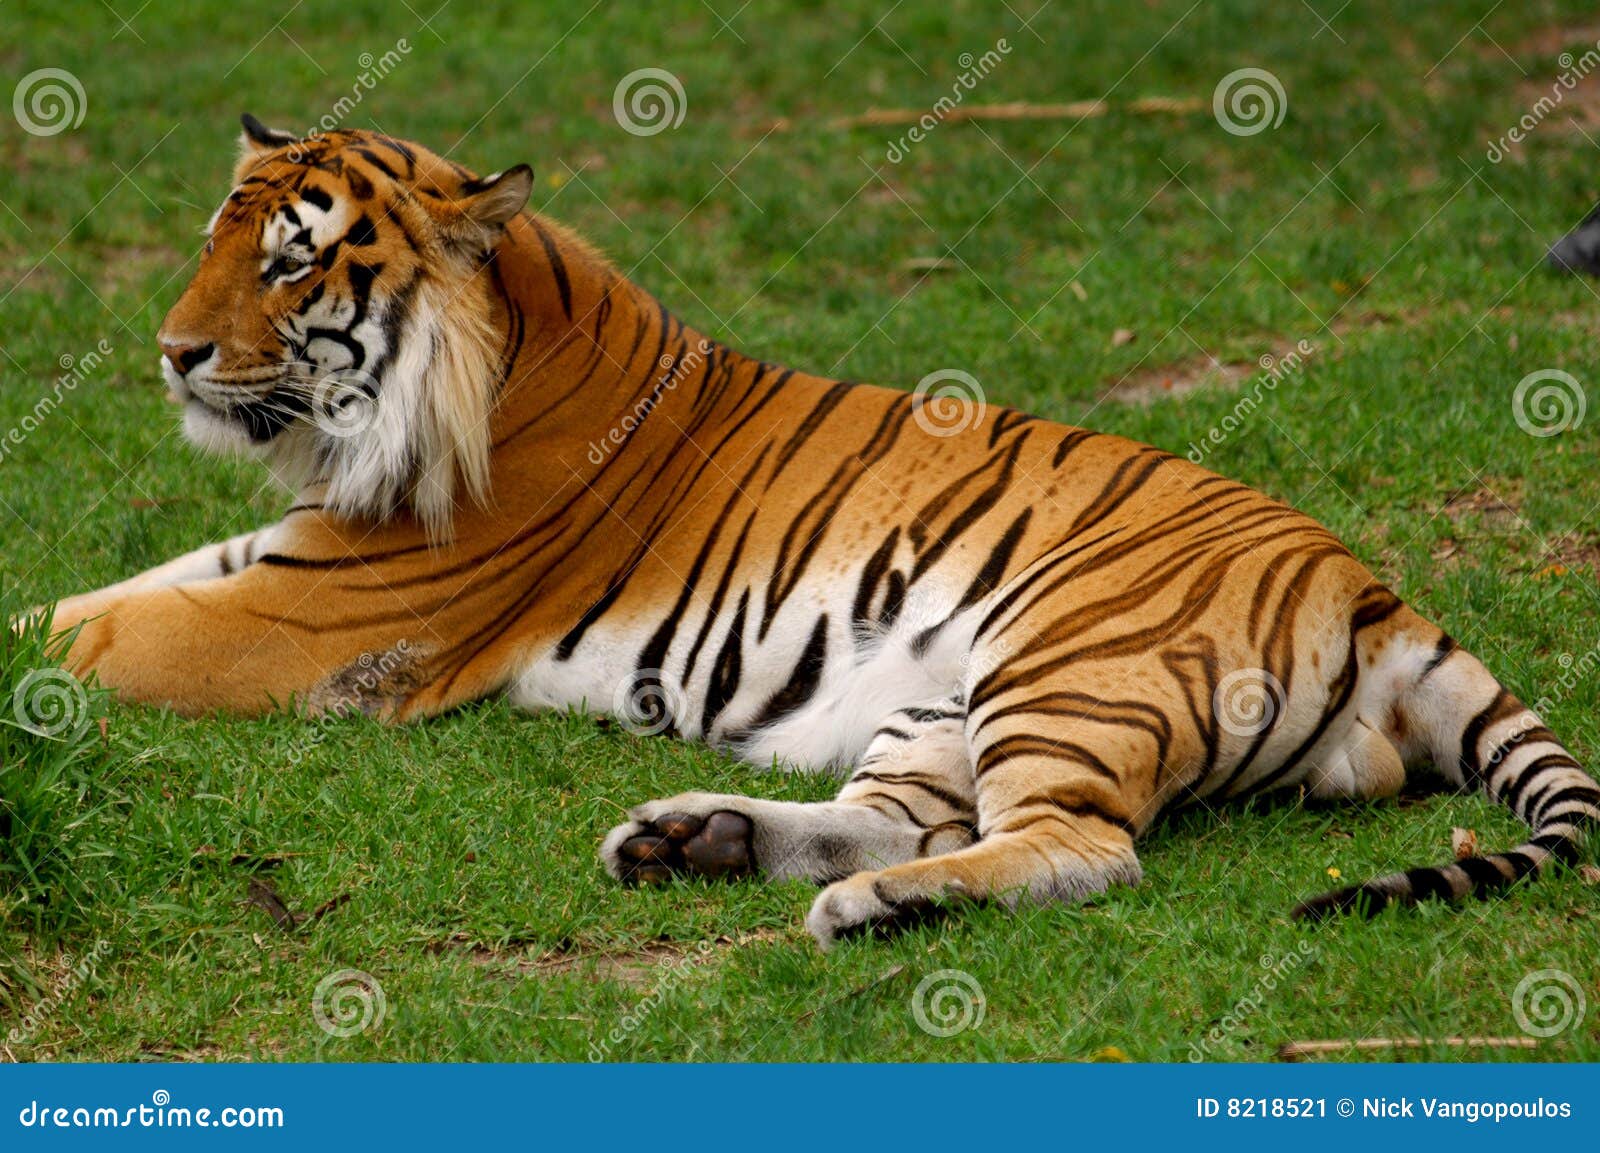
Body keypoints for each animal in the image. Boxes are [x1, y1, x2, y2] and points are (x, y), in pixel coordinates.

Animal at [34, 115, 1599, 948]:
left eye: (289, 266)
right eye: (214, 241)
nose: (169, 353)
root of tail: (1375, 586)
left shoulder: (310, 614)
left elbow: (67, 635)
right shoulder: (279, 567)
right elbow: (89, 599)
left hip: (1066, 662)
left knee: (1085, 848)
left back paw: (869, 909)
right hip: (939, 699)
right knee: (901, 812)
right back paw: (698, 841)